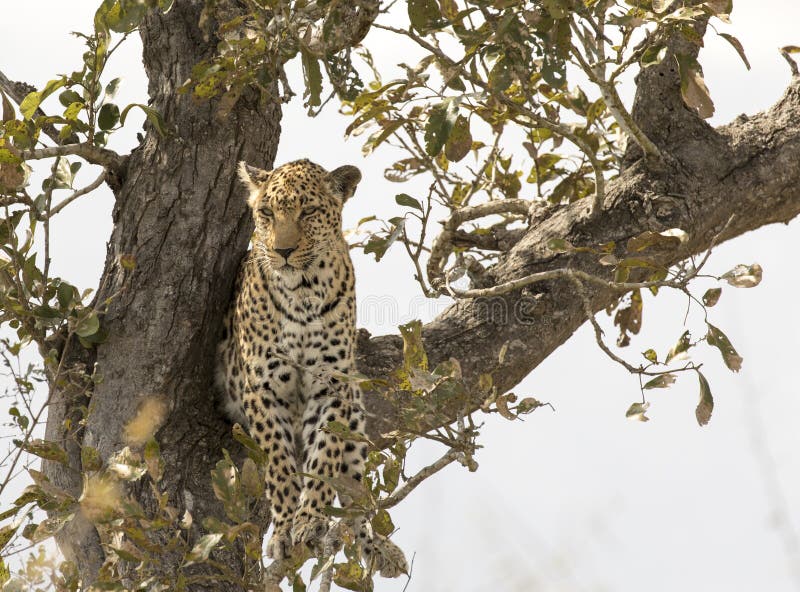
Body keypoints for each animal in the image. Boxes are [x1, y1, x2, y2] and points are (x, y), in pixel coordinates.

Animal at [215, 158, 407, 578]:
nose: (283, 250)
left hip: (355, 413)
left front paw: (308, 519)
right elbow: (280, 465)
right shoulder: (264, 388)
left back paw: (380, 547)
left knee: (355, 495)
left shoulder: (331, 386)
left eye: (308, 212)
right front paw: (286, 526)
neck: (301, 292)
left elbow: (324, 457)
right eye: (266, 213)